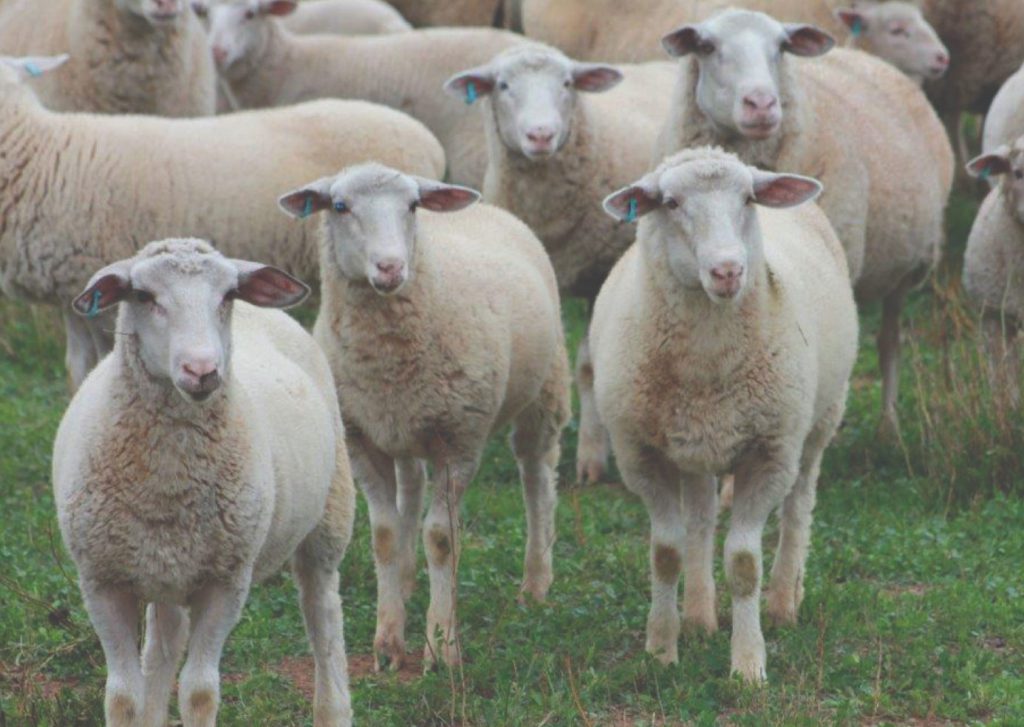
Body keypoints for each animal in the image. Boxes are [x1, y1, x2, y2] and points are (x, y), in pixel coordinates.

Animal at [52, 238, 356, 726]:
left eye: (228, 295)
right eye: (144, 296)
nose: (202, 370)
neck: (167, 482)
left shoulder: (226, 582)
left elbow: (199, 692)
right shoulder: (102, 581)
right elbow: (122, 696)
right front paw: (138, 708)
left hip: (329, 517)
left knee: (324, 615)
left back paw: (333, 708)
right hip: (168, 569)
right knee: (163, 645)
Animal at [279, 163, 570, 670]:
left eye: (413, 205)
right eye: (340, 206)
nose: (391, 268)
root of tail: (488, 207)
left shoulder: (460, 442)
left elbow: (441, 538)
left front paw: (441, 644)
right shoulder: (361, 440)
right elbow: (385, 534)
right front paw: (387, 641)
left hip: (543, 390)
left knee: (536, 480)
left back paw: (535, 583)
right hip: (403, 427)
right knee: (411, 485)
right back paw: (407, 581)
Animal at [445, 45, 675, 484]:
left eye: (567, 83)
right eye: (503, 85)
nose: (541, 135)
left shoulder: (600, 274)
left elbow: (587, 367)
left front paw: (590, 457)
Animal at [590, 147, 858, 682]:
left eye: (748, 198)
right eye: (670, 202)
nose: (729, 271)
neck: (706, 369)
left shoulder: (770, 455)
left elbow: (744, 563)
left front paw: (749, 665)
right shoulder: (641, 455)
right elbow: (666, 552)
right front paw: (661, 649)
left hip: (818, 421)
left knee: (800, 505)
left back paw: (783, 601)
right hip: (696, 446)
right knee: (700, 517)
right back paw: (698, 615)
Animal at [656, 9, 953, 435]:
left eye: (782, 47)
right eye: (707, 47)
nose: (762, 103)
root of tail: (866, 57)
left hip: (906, 271)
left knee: (889, 342)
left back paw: (889, 424)